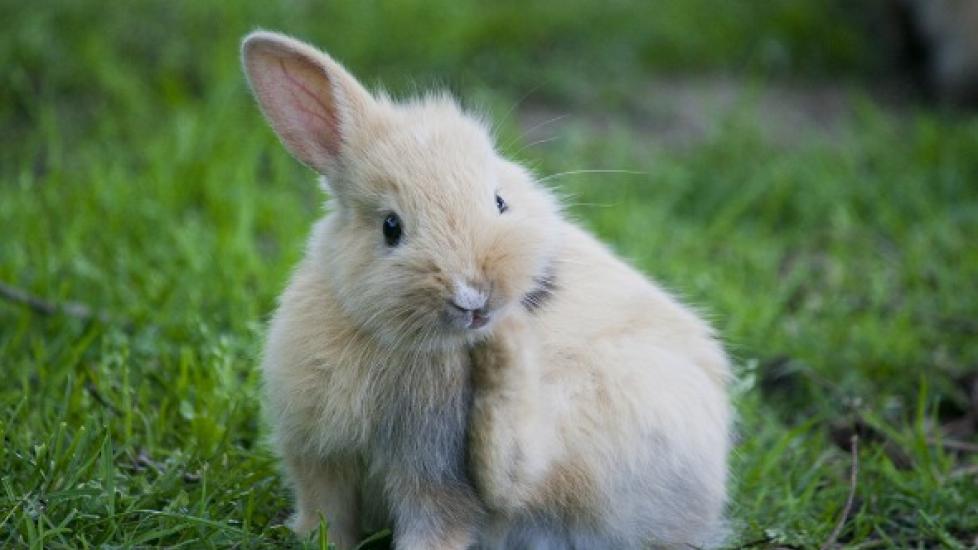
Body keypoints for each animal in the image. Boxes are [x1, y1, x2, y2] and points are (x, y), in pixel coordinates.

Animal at [242, 30, 732, 550]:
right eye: (391, 227)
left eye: (499, 201)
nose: (474, 297)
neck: (395, 341)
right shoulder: (319, 460)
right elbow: (325, 515)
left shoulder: (433, 475)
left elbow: (439, 525)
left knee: (518, 475)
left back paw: (508, 346)